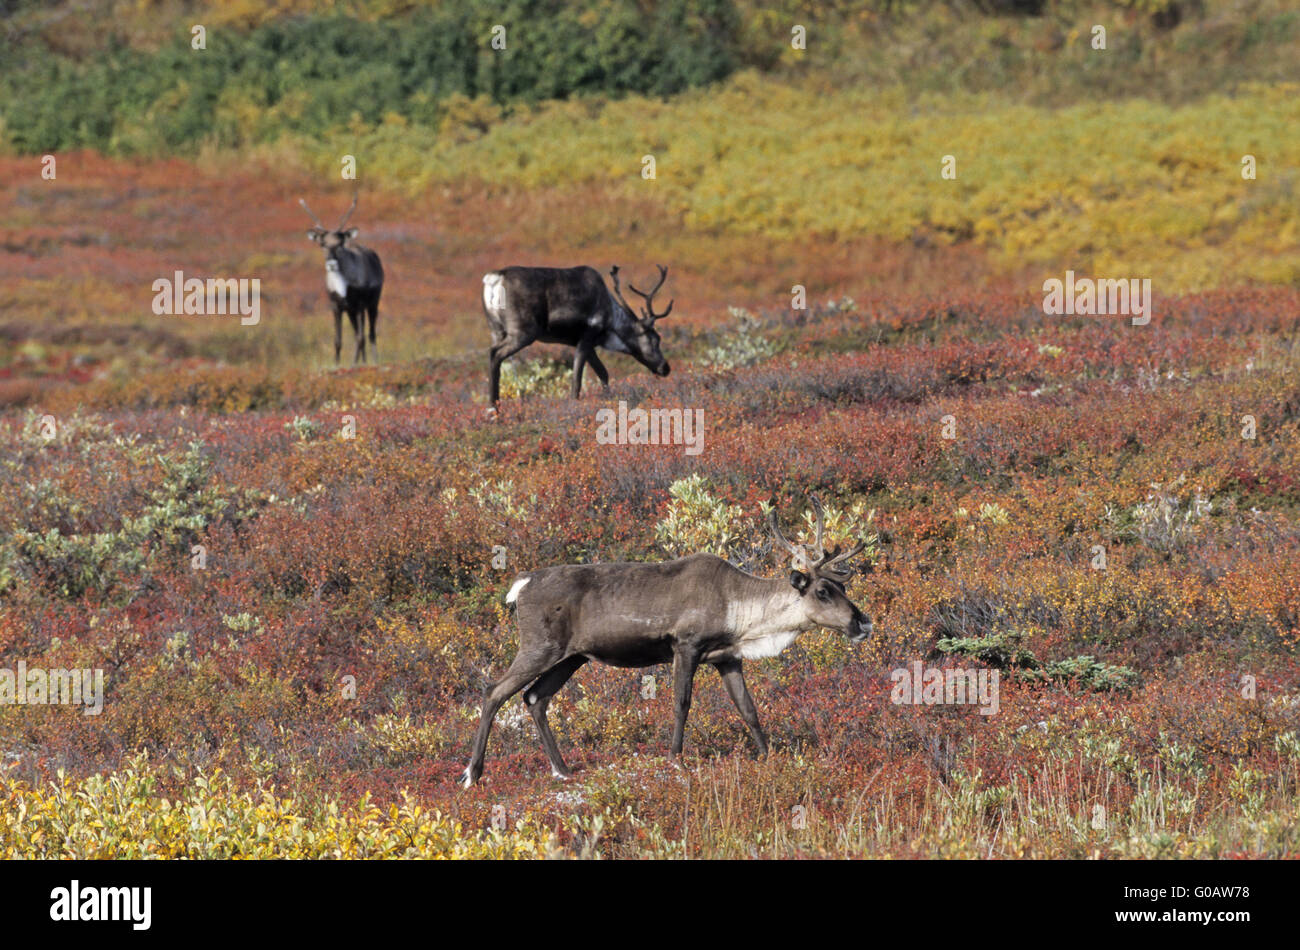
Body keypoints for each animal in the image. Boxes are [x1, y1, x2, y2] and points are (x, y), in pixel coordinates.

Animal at [301, 195, 384, 365]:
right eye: (322, 244)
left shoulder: (359, 305)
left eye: (340, 244)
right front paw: (337, 364)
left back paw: (373, 361)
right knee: (360, 334)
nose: (331, 264)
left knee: (370, 334)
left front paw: (354, 364)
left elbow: (360, 338)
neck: (343, 287)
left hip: (373, 302)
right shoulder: (337, 306)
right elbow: (338, 341)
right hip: (351, 311)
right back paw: (364, 361)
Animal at [461, 497, 871, 788]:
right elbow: (680, 704)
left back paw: (562, 770)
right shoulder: (685, 647)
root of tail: (521, 585)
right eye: (822, 591)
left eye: (844, 587)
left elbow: (748, 709)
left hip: (571, 657)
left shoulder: (727, 658)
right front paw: (675, 757)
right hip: (538, 647)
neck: (740, 611)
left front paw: (769, 757)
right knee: (494, 691)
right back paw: (472, 774)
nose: (863, 622)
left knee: (535, 698)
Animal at [481, 263, 673, 404]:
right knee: (494, 353)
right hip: (523, 331)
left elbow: (603, 373)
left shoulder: (585, 343)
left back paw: (495, 407)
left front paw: (608, 399)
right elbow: (577, 380)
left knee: (493, 357)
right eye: (655, 339)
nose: (666, 368)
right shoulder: (587, 335)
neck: (611, 320)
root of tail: (494, 278)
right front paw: (575, 403)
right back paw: (493, 408)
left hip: (496, 329)